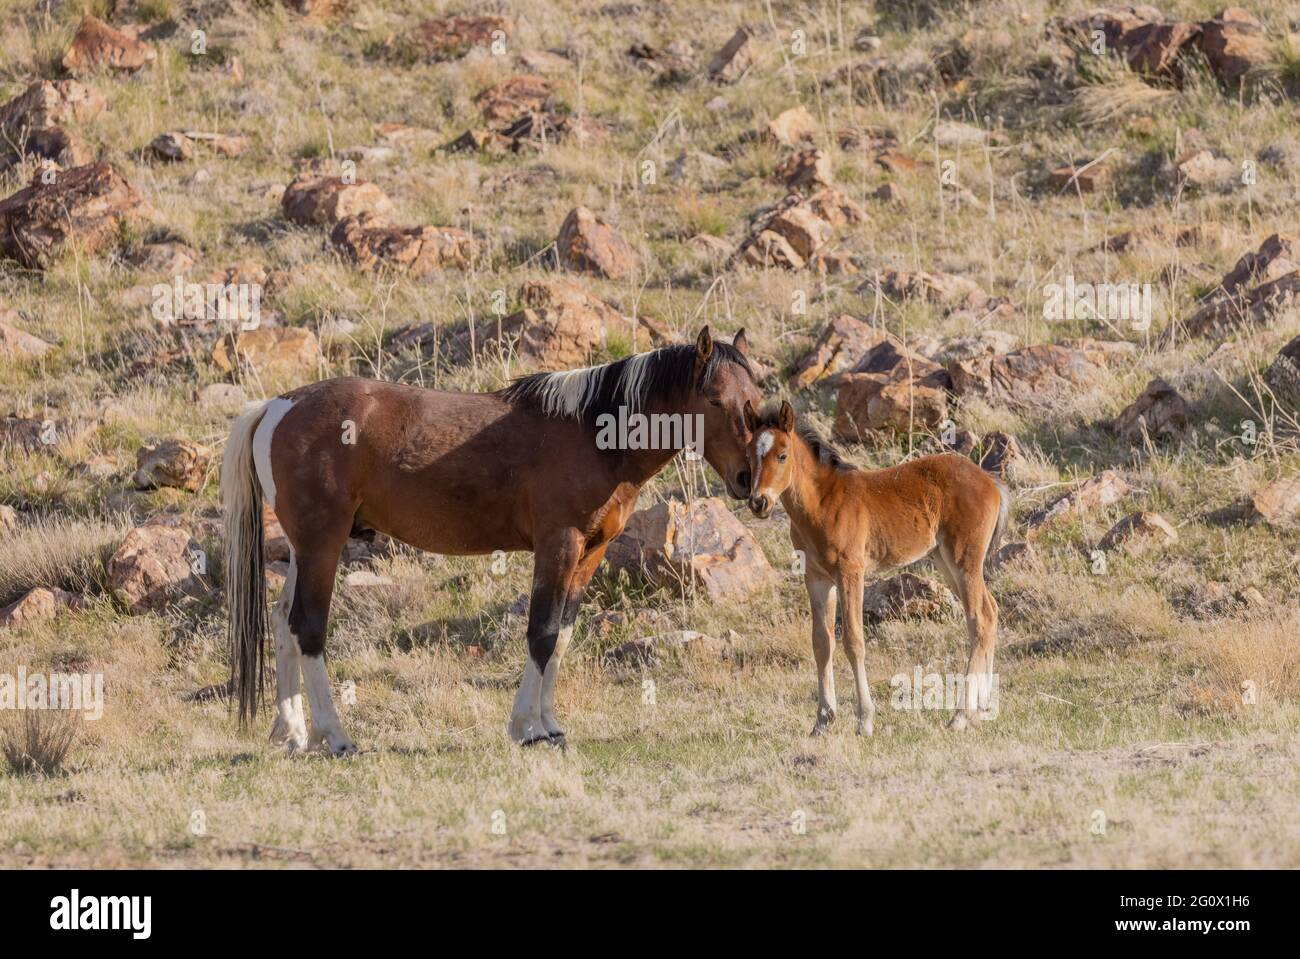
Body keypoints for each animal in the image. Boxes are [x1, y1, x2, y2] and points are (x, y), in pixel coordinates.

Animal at [220, 327, 762, 755]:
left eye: (754, 397)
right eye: (715, 399)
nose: (746, 480)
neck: (594, 433)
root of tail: (277, 406)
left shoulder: (590, 553)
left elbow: (563, 634)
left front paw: (550, 725)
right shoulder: (558, 545)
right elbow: (543, 632)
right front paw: (529, 729)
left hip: (304, 550)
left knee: (282, 622)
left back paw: (293, 734)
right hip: (323, 545)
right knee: (308, 628)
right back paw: (335, 736)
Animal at [743, 400, 1009, 735]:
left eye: (782, 455)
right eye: (750, 453)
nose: (758, 503)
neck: (821, 503)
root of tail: (991, 482)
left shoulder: (850, 571)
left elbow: (853, 640)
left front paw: (865, 721)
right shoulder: (816, 578)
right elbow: (821, 642)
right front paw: (822, 721)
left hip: (964, 560)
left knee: (980, 619)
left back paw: (960, 716)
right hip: (946, 562)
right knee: (990, 612)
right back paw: (983, 708)